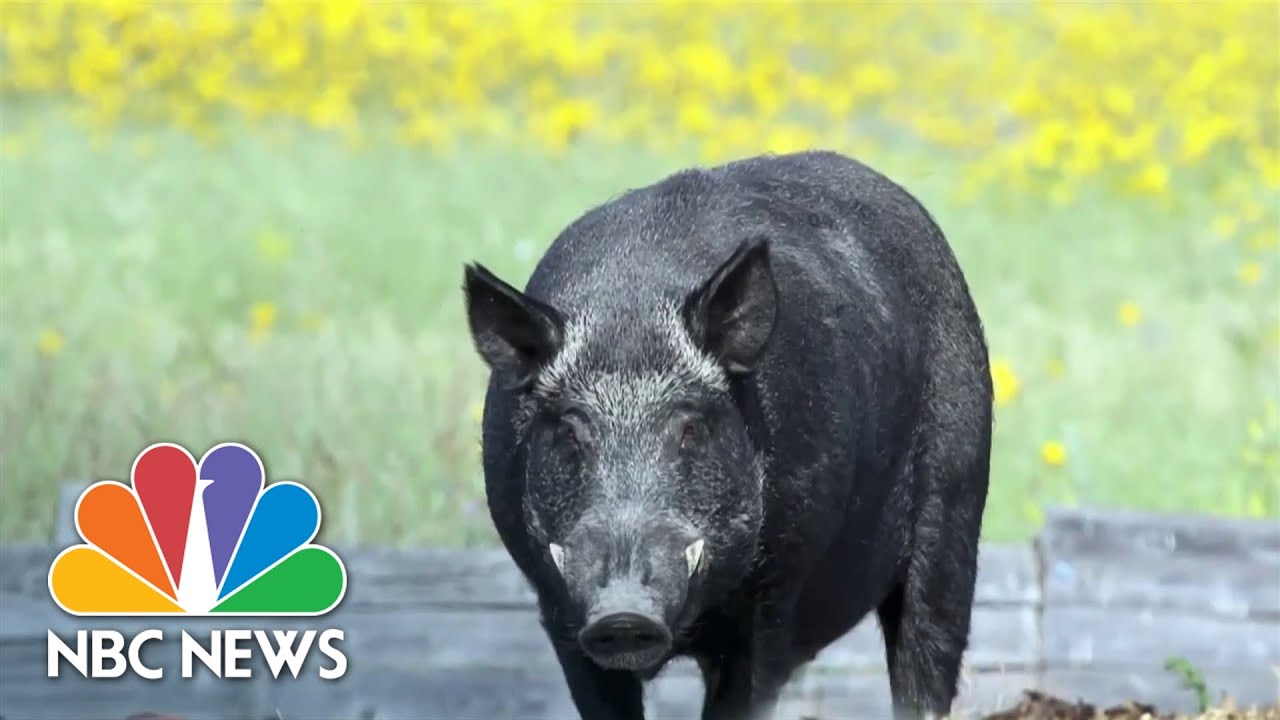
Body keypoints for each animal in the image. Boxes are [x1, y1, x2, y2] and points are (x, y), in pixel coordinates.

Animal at [462, 150, 993, 720]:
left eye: (691, 427)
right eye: (570, 431)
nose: (624, 615)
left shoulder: (775, 595)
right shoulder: (557, 605)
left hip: (957, 501)